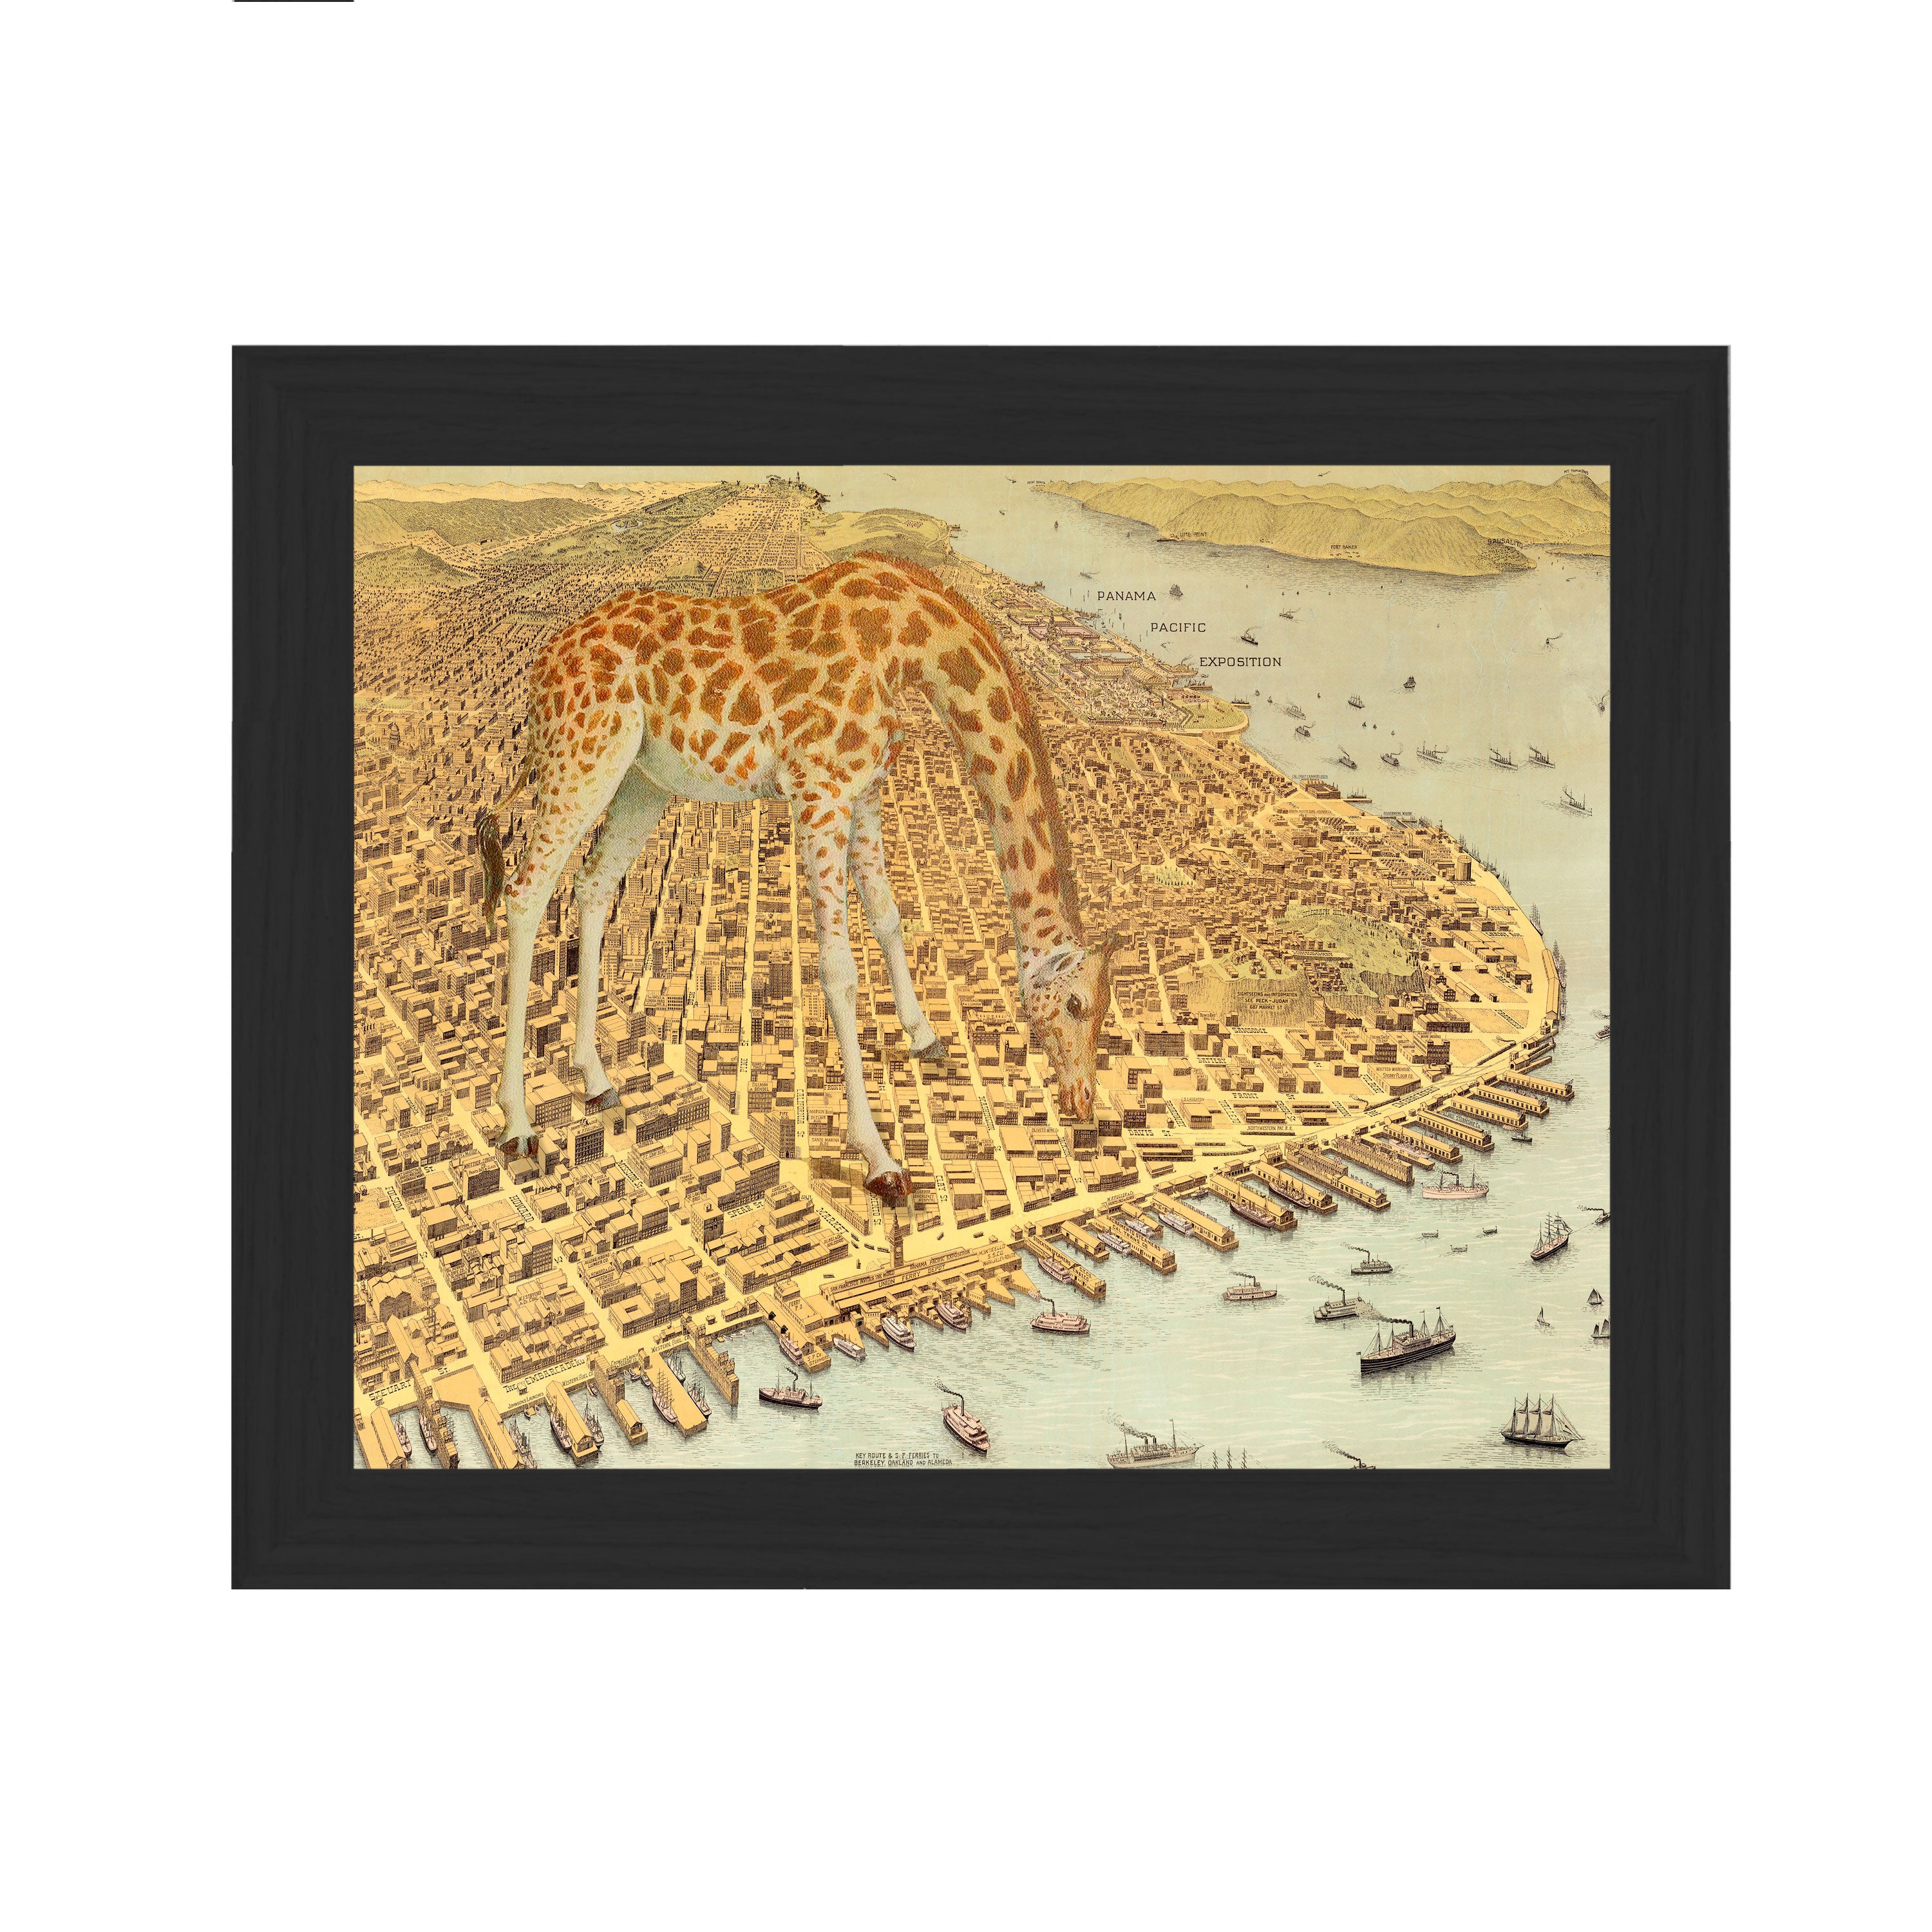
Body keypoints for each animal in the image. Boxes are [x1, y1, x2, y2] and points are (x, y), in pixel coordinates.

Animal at [477, 553, 1117, 1202]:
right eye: (1077, 1004)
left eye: (1106, 1011)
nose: (1081, 1101)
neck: (904, 641)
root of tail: (542, 667)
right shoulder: (821, 793)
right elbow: (838, 970)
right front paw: (880, 1158)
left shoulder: (866, 792)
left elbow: (888, 917)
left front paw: (924, 1036)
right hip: (582, 756)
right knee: (526, 889)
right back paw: (518, 1124)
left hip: (641, 778)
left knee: (594, 883)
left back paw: (596, 1078)